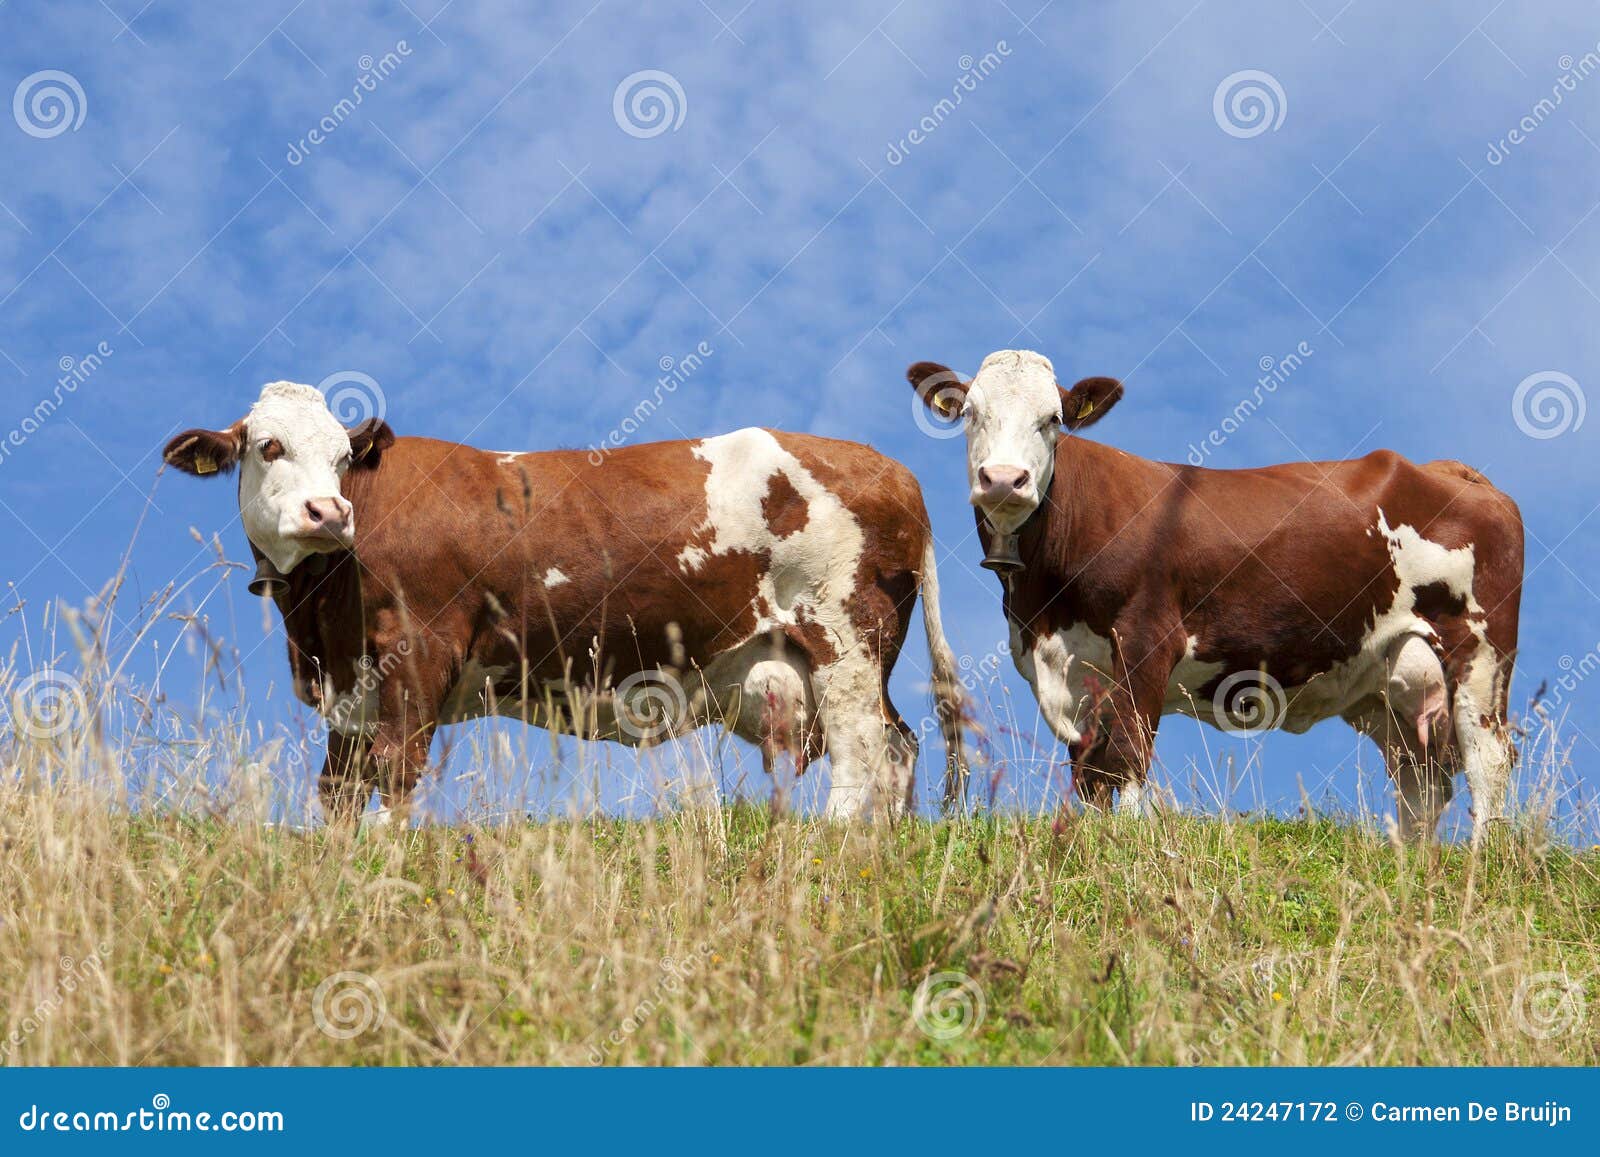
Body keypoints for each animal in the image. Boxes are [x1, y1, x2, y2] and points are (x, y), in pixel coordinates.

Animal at [163, 381, 965, 823]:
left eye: (339, 457)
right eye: (267, 446)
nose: (329, 512)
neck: (317, 621)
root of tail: (888, 466)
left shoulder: (417, 652)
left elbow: (398, 772)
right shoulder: (350, 689)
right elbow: (335, 794)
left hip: (844, 640)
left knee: (864, 751)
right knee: (899, 748)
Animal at [909, 349, 1523, 842]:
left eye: (1053, 419)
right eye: (970, 412)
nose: (1003, 479)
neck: (1045, 607)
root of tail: (1452, 469)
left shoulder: (1147, 640)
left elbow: (1128, 754)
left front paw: (1127, 843)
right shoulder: (1069, 666)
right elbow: (1090, 771)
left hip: (1479, 651)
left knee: (1489, 757)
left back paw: (1483, 858)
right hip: (1389, 680)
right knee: (1422, 780)